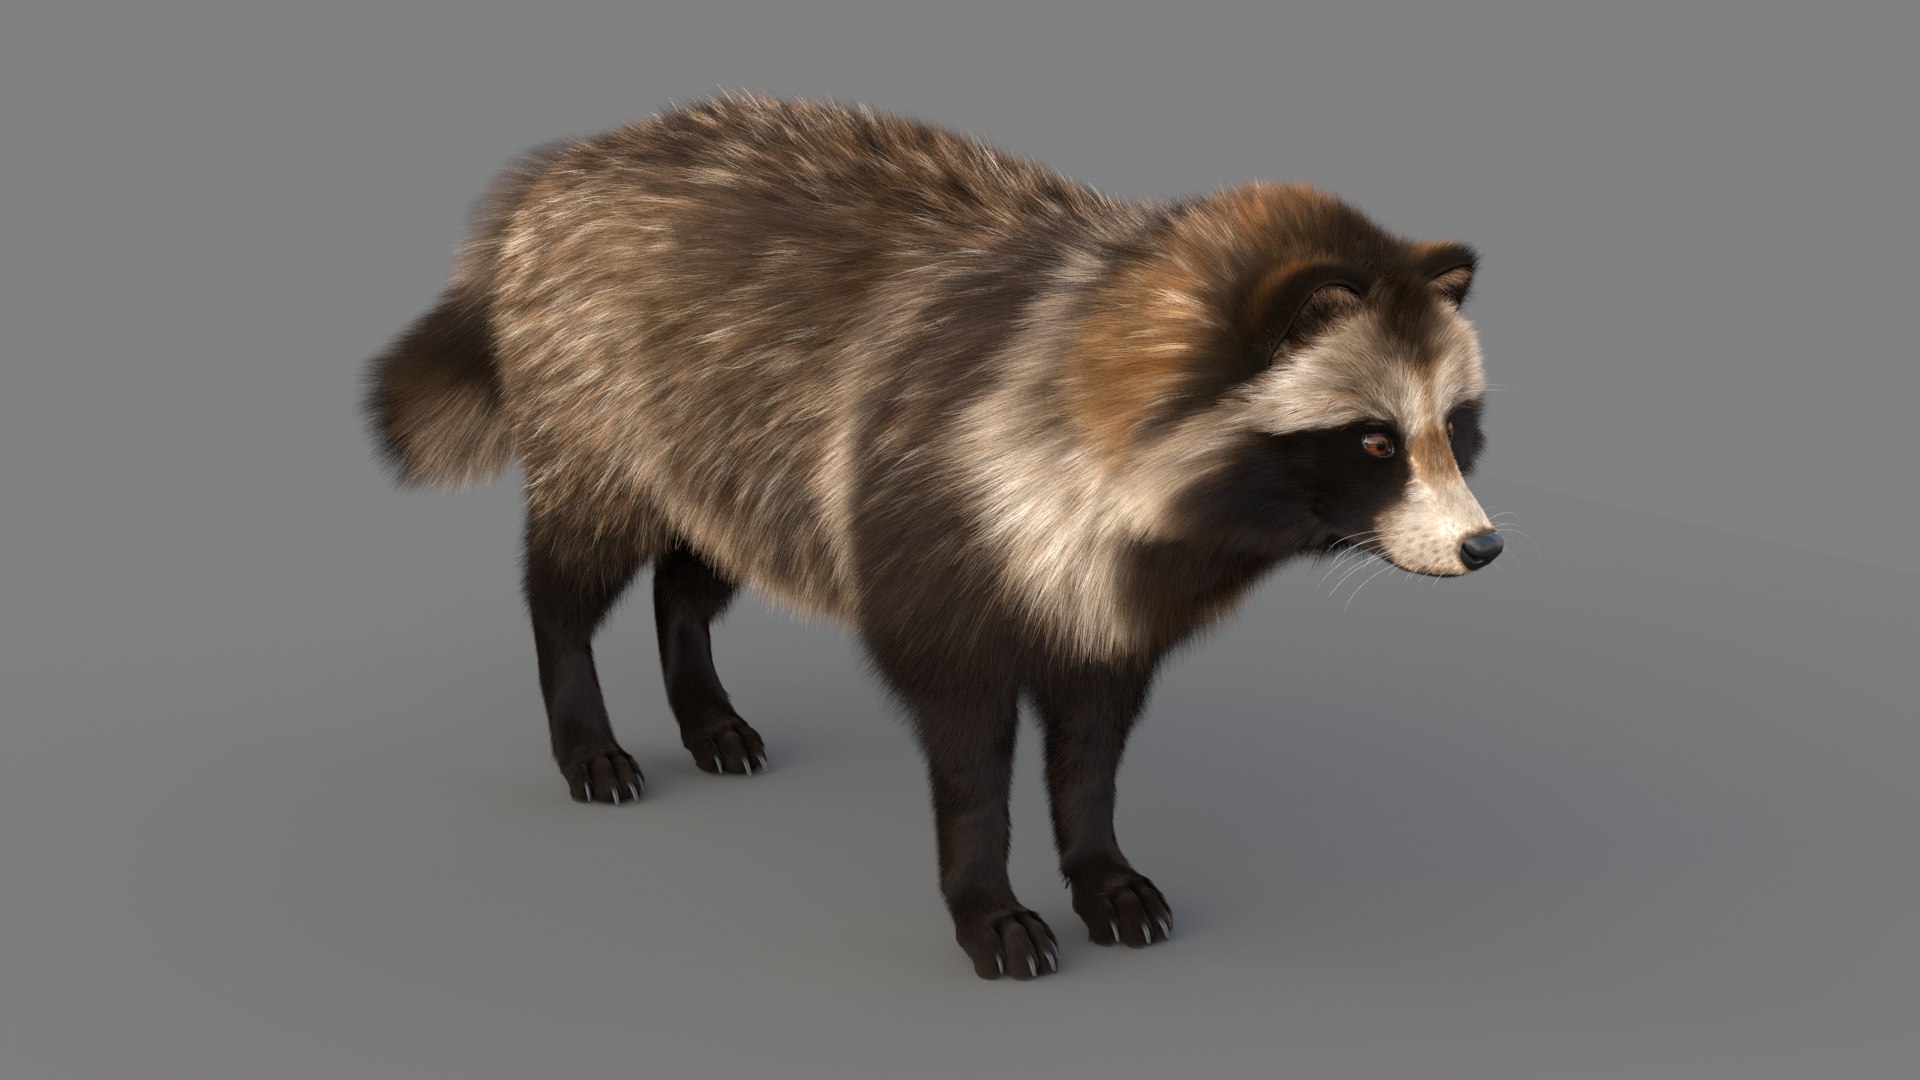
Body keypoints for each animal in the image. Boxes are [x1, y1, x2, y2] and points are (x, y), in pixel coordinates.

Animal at [363, 94, 1502, 981]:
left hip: (728, 447)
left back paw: (704, 702)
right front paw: (985, 898)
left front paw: (1099, 864)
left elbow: (1092, 745)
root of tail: (562, 173)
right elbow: (966, 752)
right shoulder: (931, 510)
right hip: (601, 402)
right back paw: (581, 720)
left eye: (1457, 430)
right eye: (1372, 440)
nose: (1483, 550)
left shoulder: (1107, 594)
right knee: (570, 573)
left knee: (694, 572)